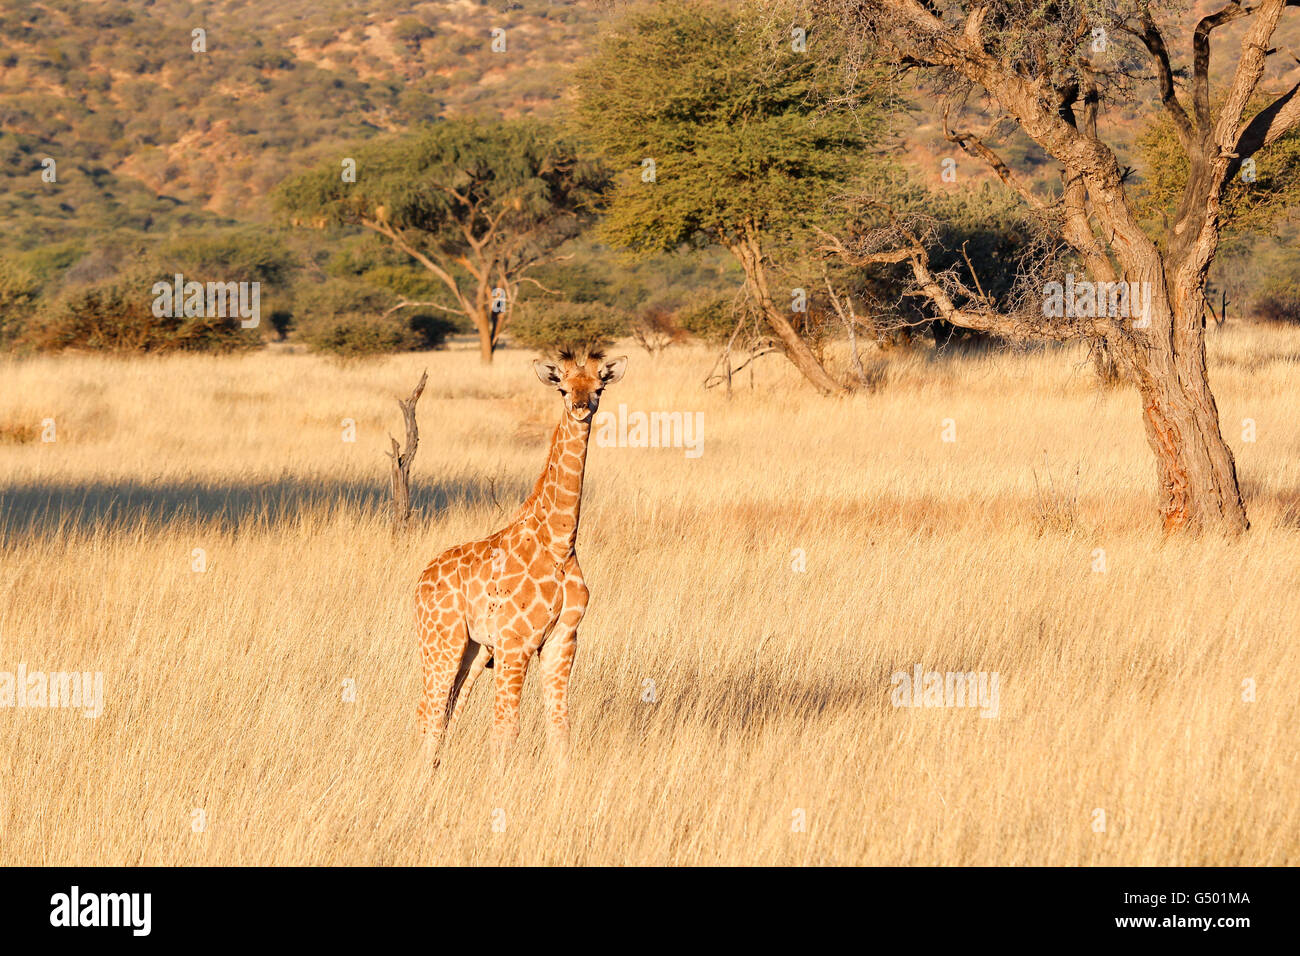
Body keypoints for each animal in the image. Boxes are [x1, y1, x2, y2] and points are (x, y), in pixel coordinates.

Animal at [415, 347, 628, 766]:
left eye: (599, 387)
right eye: (563, 388)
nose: (581, 407)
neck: (560, 543)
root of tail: (418, 583)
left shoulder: (563, 641)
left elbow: (560, 730)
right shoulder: (515, 642)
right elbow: (505, 731)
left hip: (473, 652)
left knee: (446, 716)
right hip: (442, 642)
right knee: (427, 714)